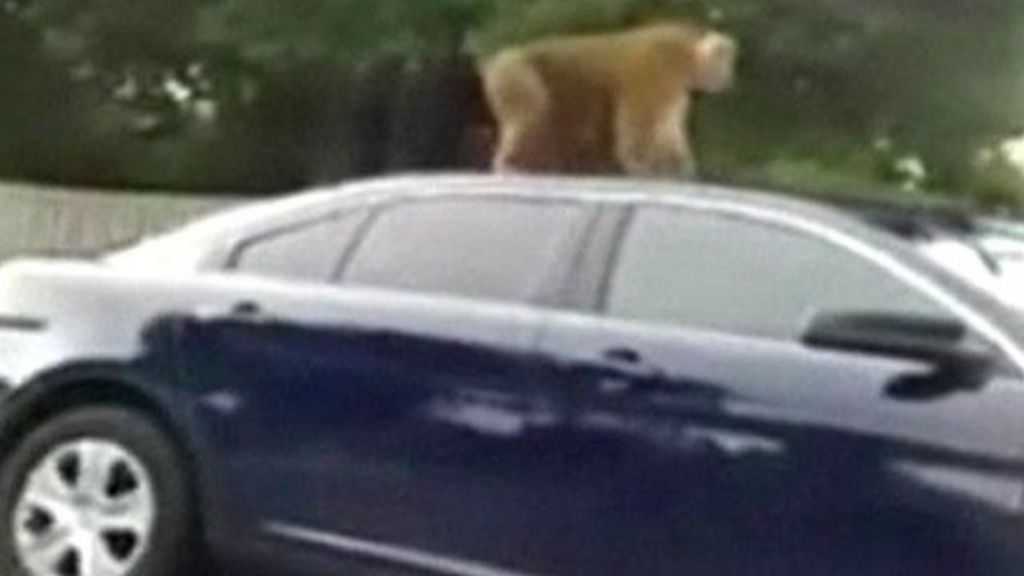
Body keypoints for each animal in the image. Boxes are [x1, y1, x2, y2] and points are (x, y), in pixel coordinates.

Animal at [480, 22, 737, 179]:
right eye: (726, 62)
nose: (728, 77)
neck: (685, 55)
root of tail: (491, 64)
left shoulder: (676, 88)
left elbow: (668, 127)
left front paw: (680, 166)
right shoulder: (656, 71)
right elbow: (638, 126)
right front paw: (643, 166)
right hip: (511, 73)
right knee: (533, 110)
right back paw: (511, 162)